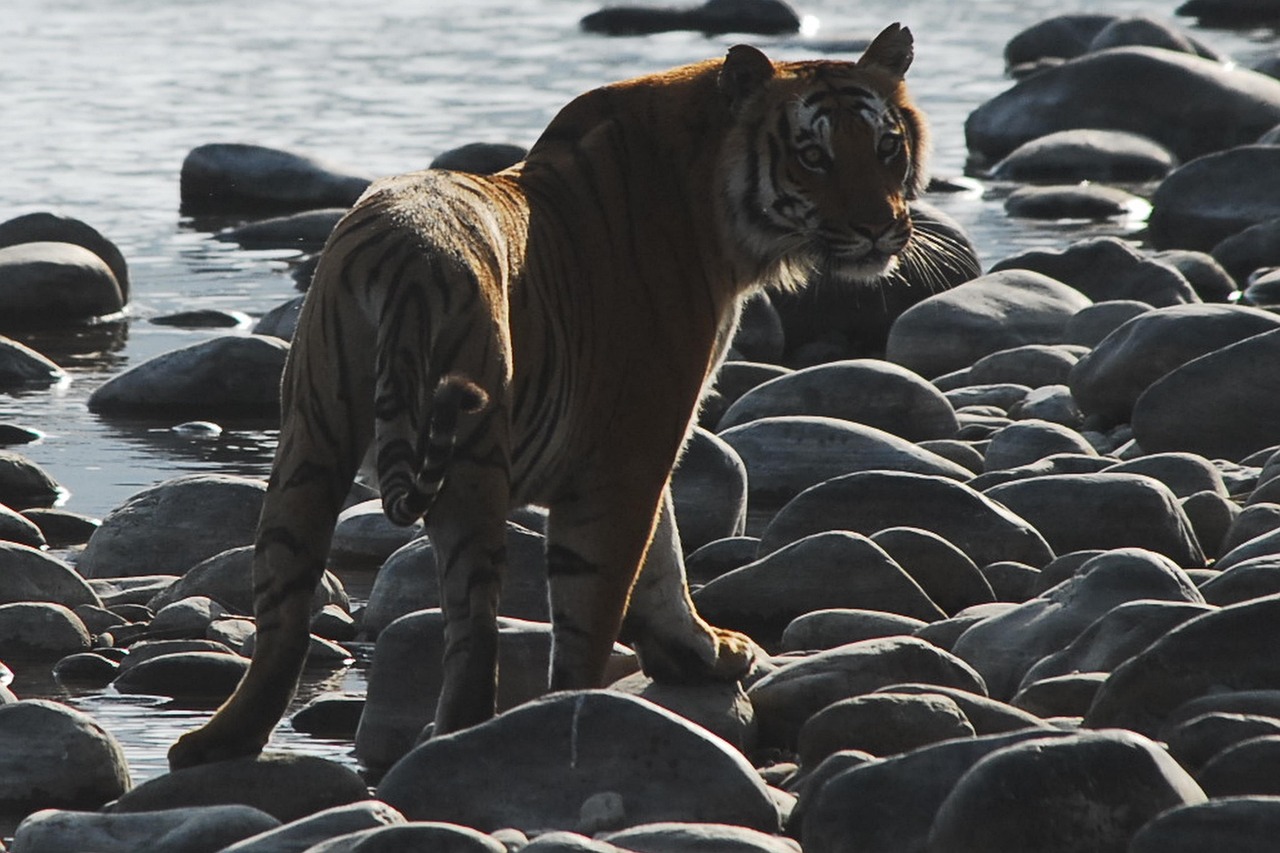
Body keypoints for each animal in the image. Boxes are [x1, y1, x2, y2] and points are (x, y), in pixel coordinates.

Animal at [169, 22, 927, 769]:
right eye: (813, 156)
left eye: (886, 147)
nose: (878, 227)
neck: (714, 201)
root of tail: (407, 255)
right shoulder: (633, 445)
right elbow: (615, 586)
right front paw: (595, 698)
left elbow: (663, 553)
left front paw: (699, 651)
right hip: (471, 462)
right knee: (474, 632)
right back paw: (484, 732)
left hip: (311, 434)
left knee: (284, 611)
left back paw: (216, 742)